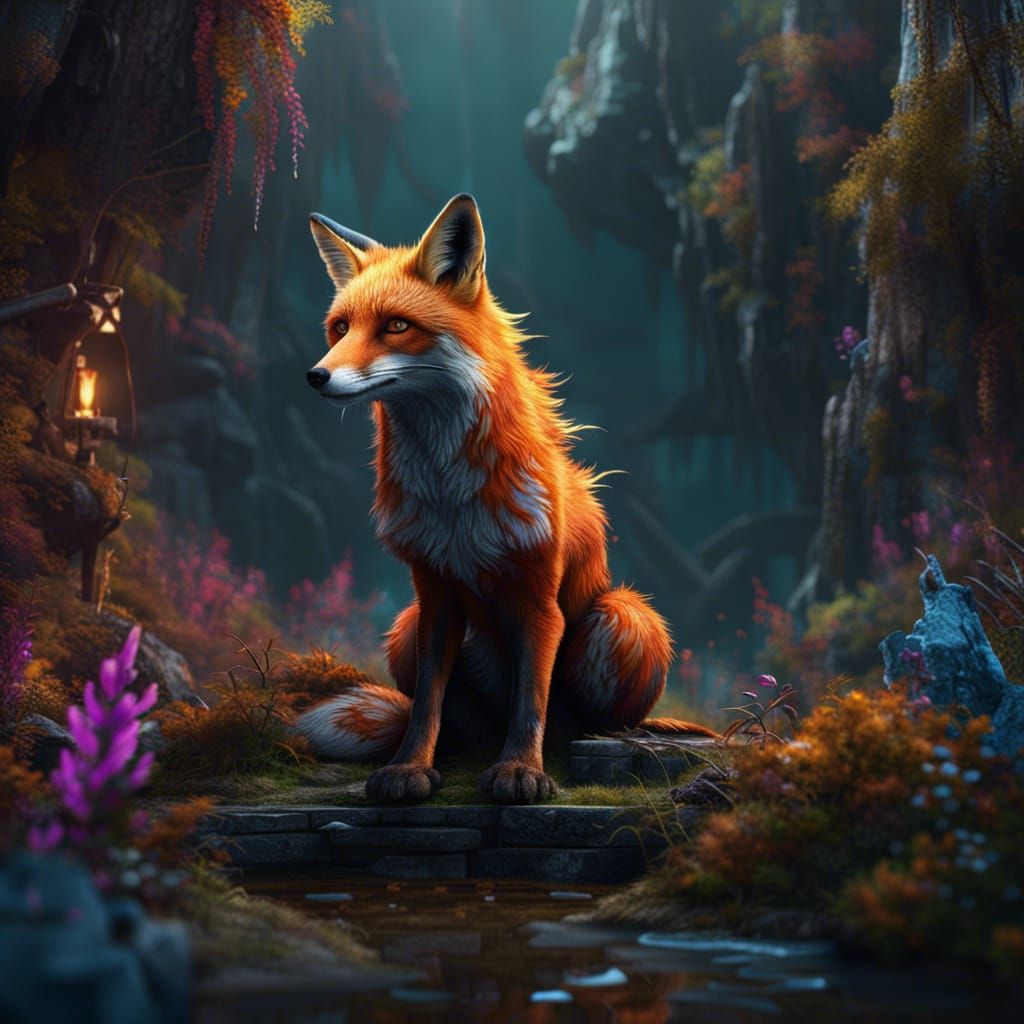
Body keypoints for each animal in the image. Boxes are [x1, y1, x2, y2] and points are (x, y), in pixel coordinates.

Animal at [297, 193, 715, 804]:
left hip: (625, 618)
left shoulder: (538, 596)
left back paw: (593, 743)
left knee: (576, 721)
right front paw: (410, 767)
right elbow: (426, 705)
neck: (450, 495)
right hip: (403, 627)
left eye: (396, 326)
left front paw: (521, 771)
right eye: (341, 327)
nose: (316, 376)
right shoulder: (433, 594)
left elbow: (530, 700)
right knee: (460, 725)